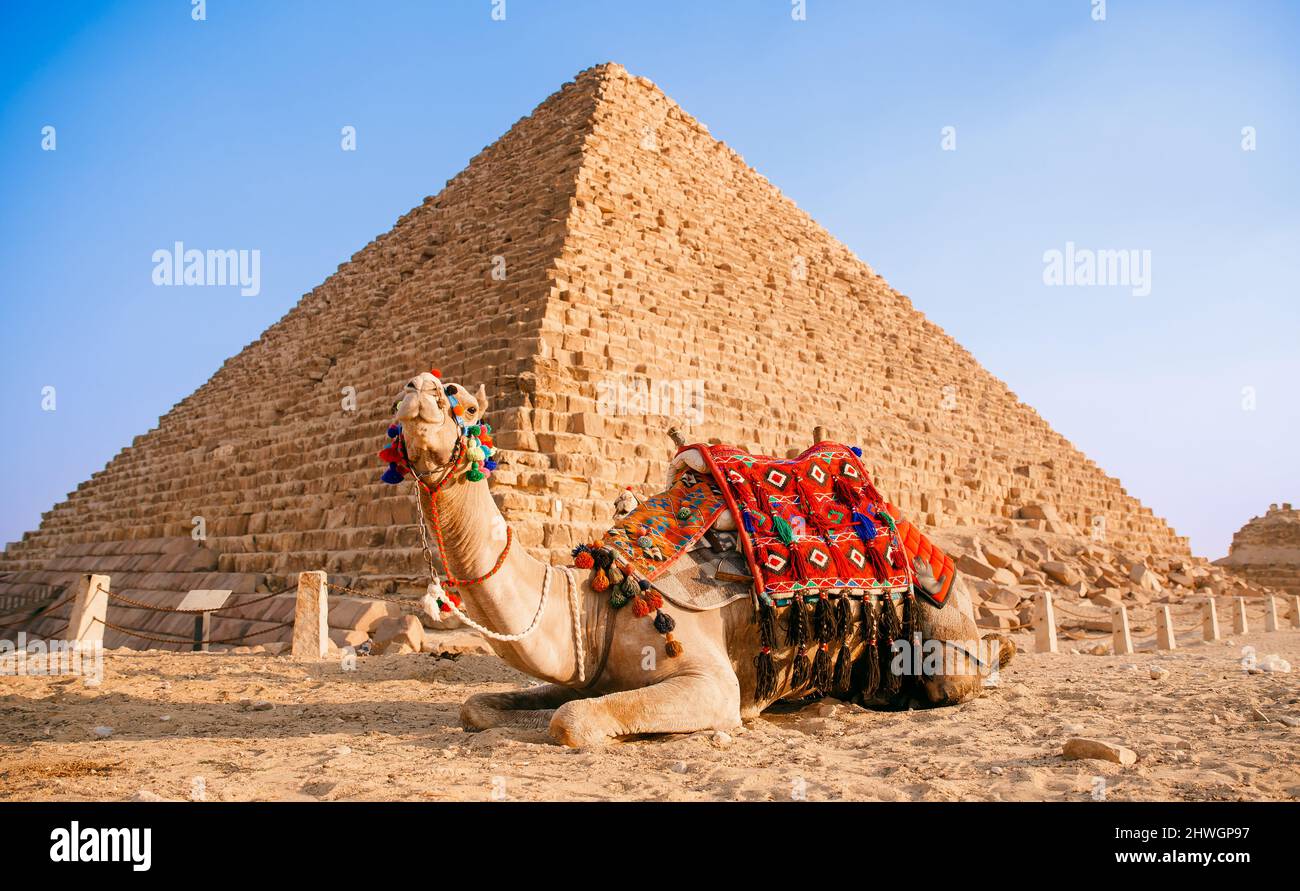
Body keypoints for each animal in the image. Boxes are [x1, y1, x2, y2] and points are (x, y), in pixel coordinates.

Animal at [393, 370, 1012, 747]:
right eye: (417, 388)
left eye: (466, 401)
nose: (417, 388)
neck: (598, 599)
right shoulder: (585, 671)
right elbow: (477, 706)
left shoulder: (707, 679)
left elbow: (570, 721)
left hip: (943, 640)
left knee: (957, 676)